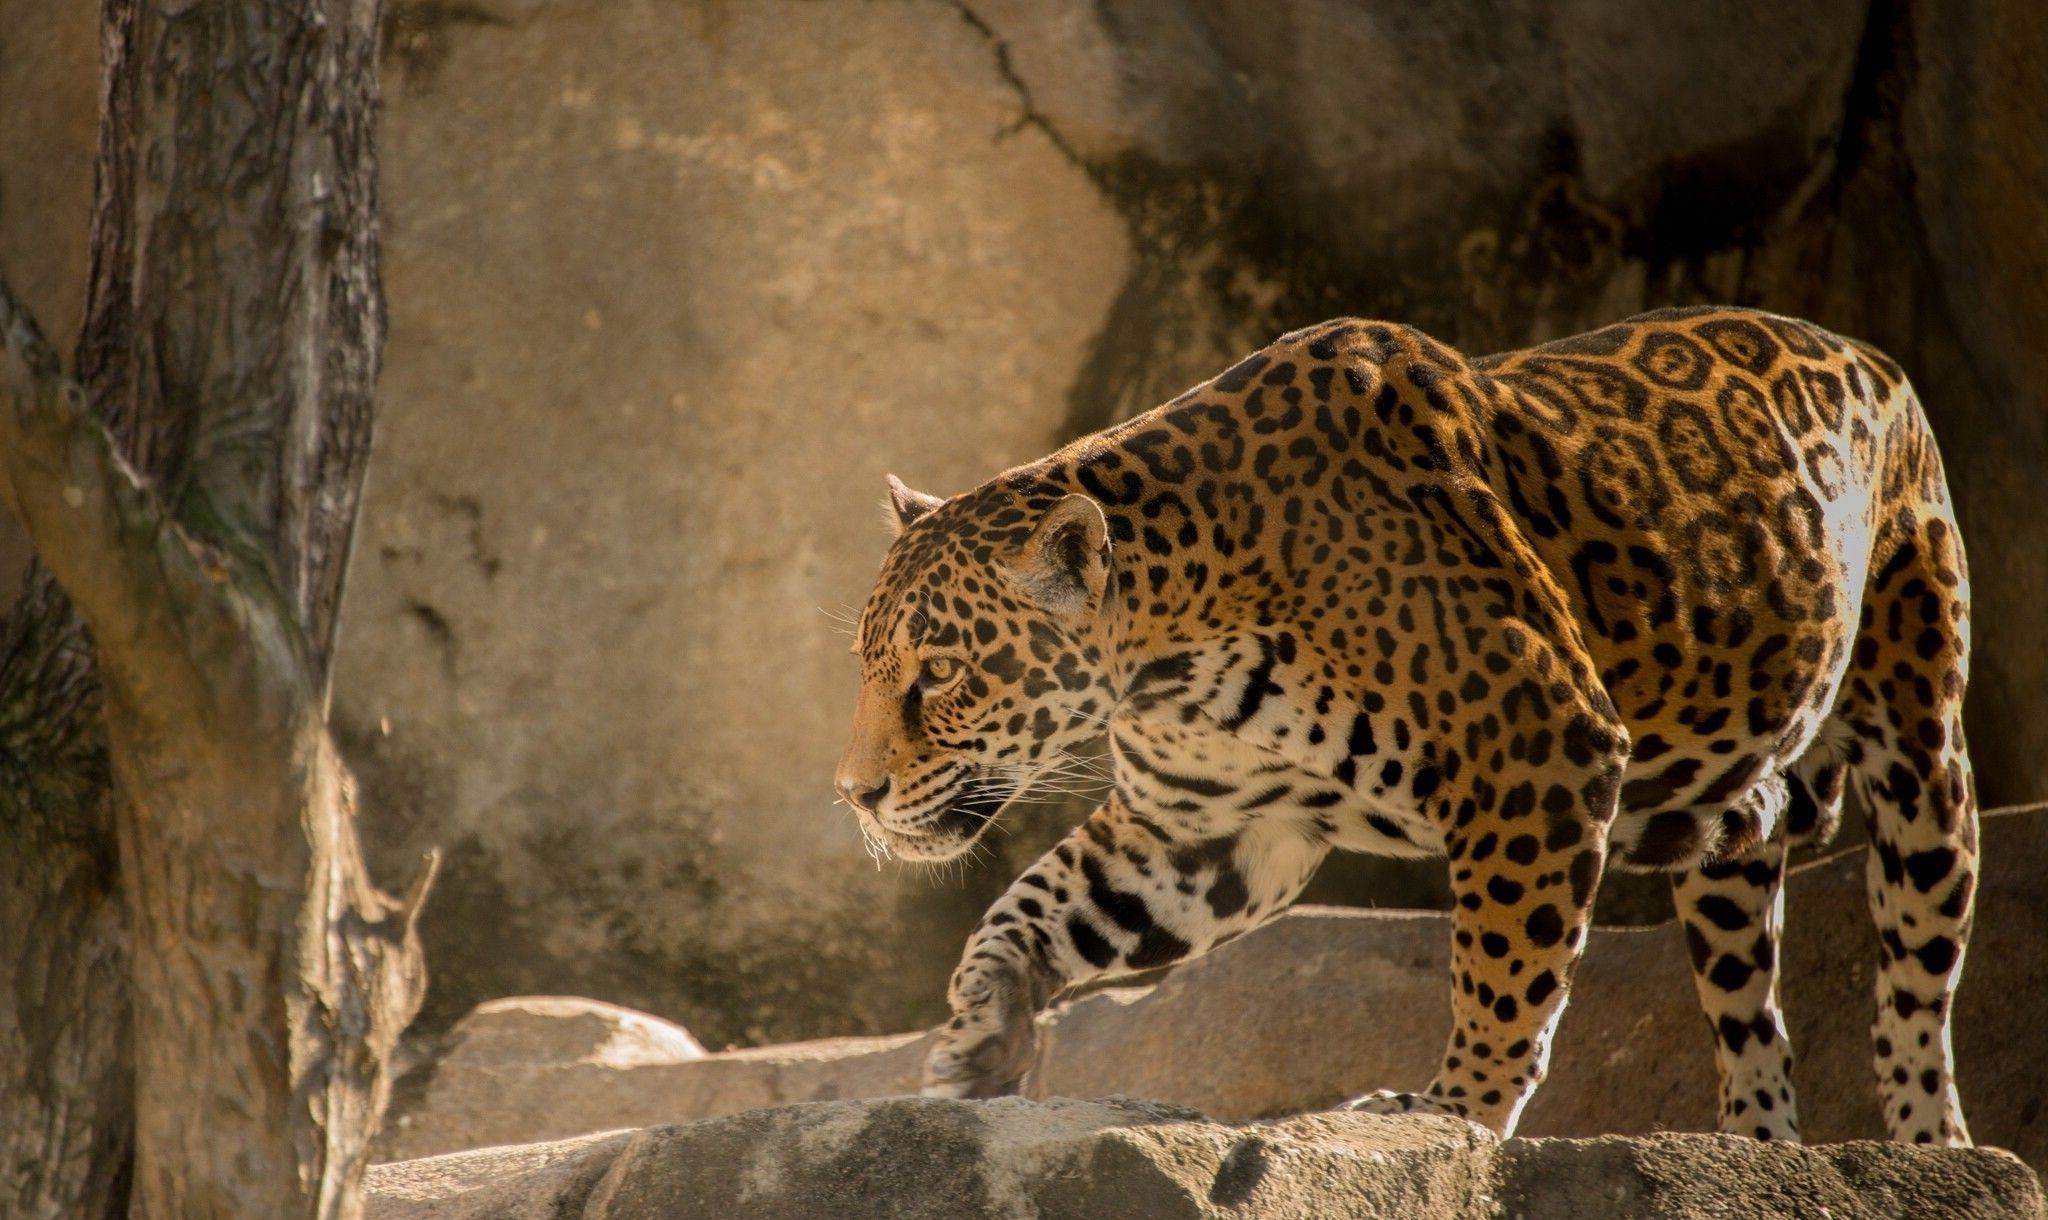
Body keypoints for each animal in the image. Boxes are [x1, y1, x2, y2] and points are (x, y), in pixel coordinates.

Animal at [835, 305, 1977, 1145]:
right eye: (866, 667)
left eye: (940, 674)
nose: (855, 794)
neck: (1175, 646)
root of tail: (1873, 356)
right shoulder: (1200, 832)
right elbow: (1035, 907)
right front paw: (981, 1034)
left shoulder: (1537, 746)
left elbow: (1504, 965)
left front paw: (1453, 1110)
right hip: (1727, 848)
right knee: (1754, 1014)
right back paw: (1755, 1148)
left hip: (1920, 743)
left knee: (1914, 992)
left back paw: (1932, 1150)